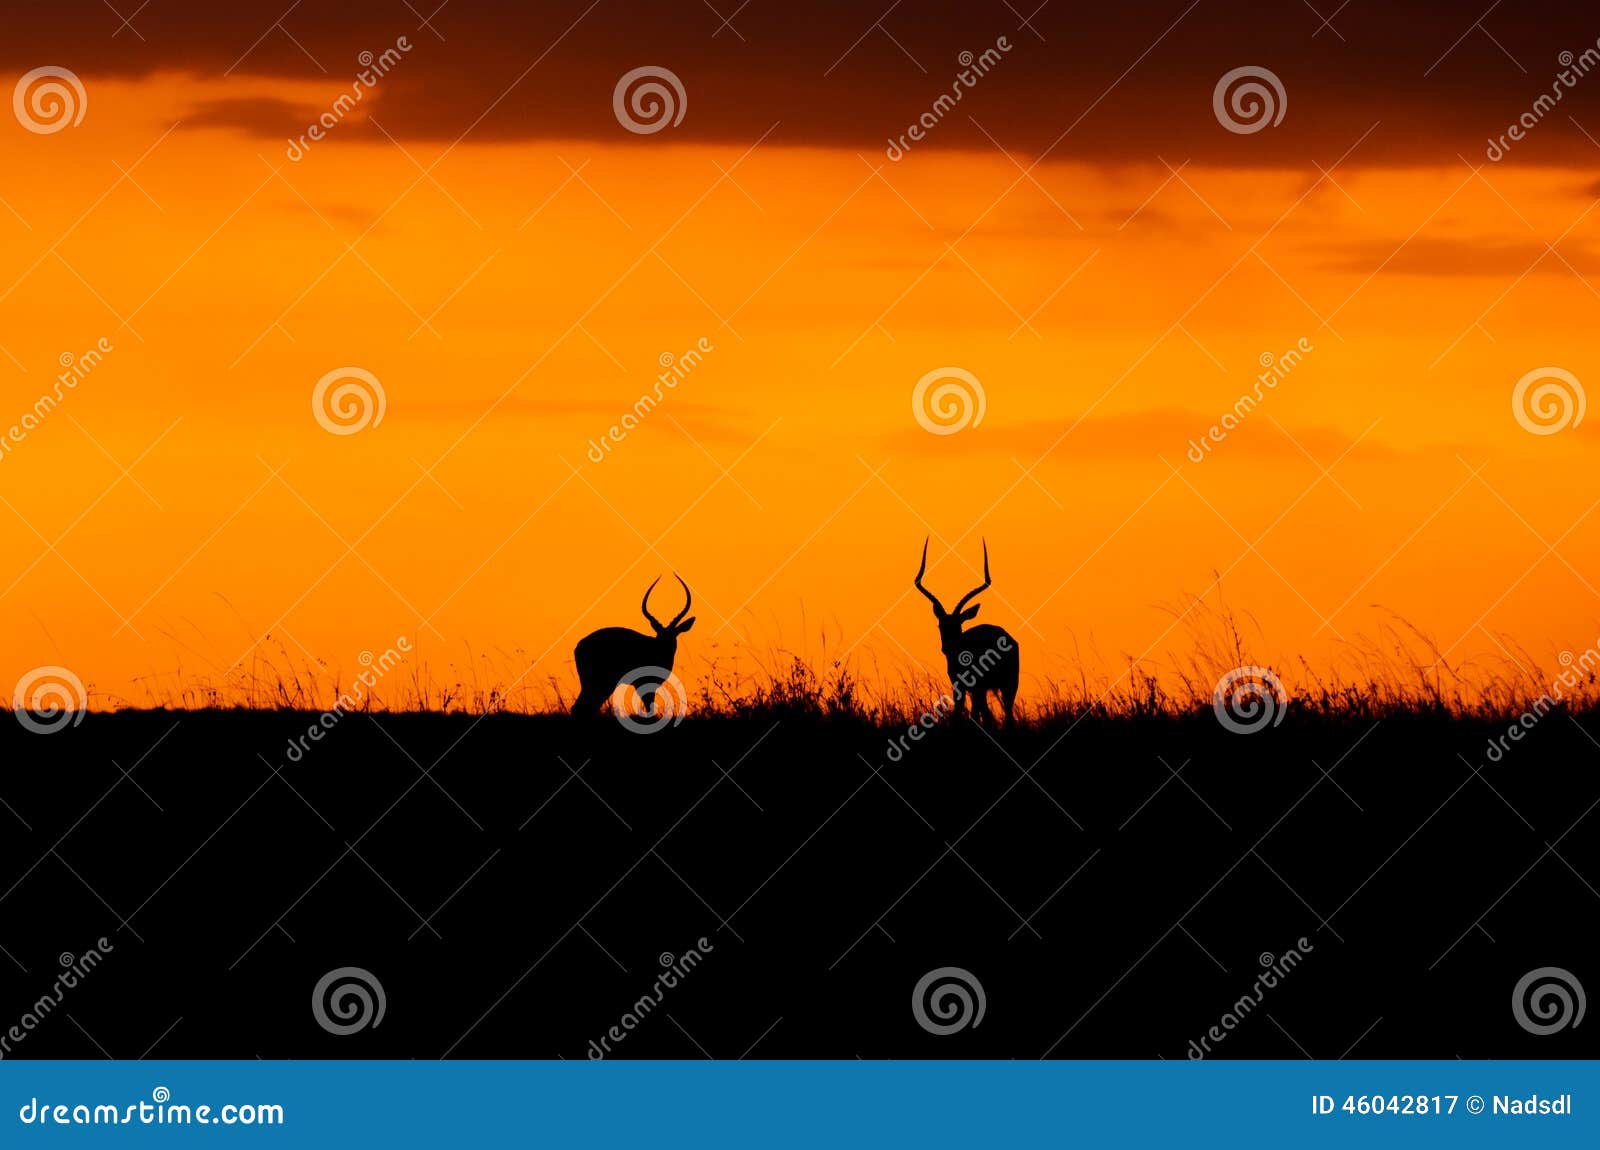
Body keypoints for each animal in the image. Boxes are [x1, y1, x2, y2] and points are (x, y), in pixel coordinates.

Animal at [913, 538, 1020, 726]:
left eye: (958, 625)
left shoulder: (975, 686)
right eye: (940, 626)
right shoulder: (959, 685)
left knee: (999, 712)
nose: (947, 648)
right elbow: (961, 710)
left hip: (1006, 684)